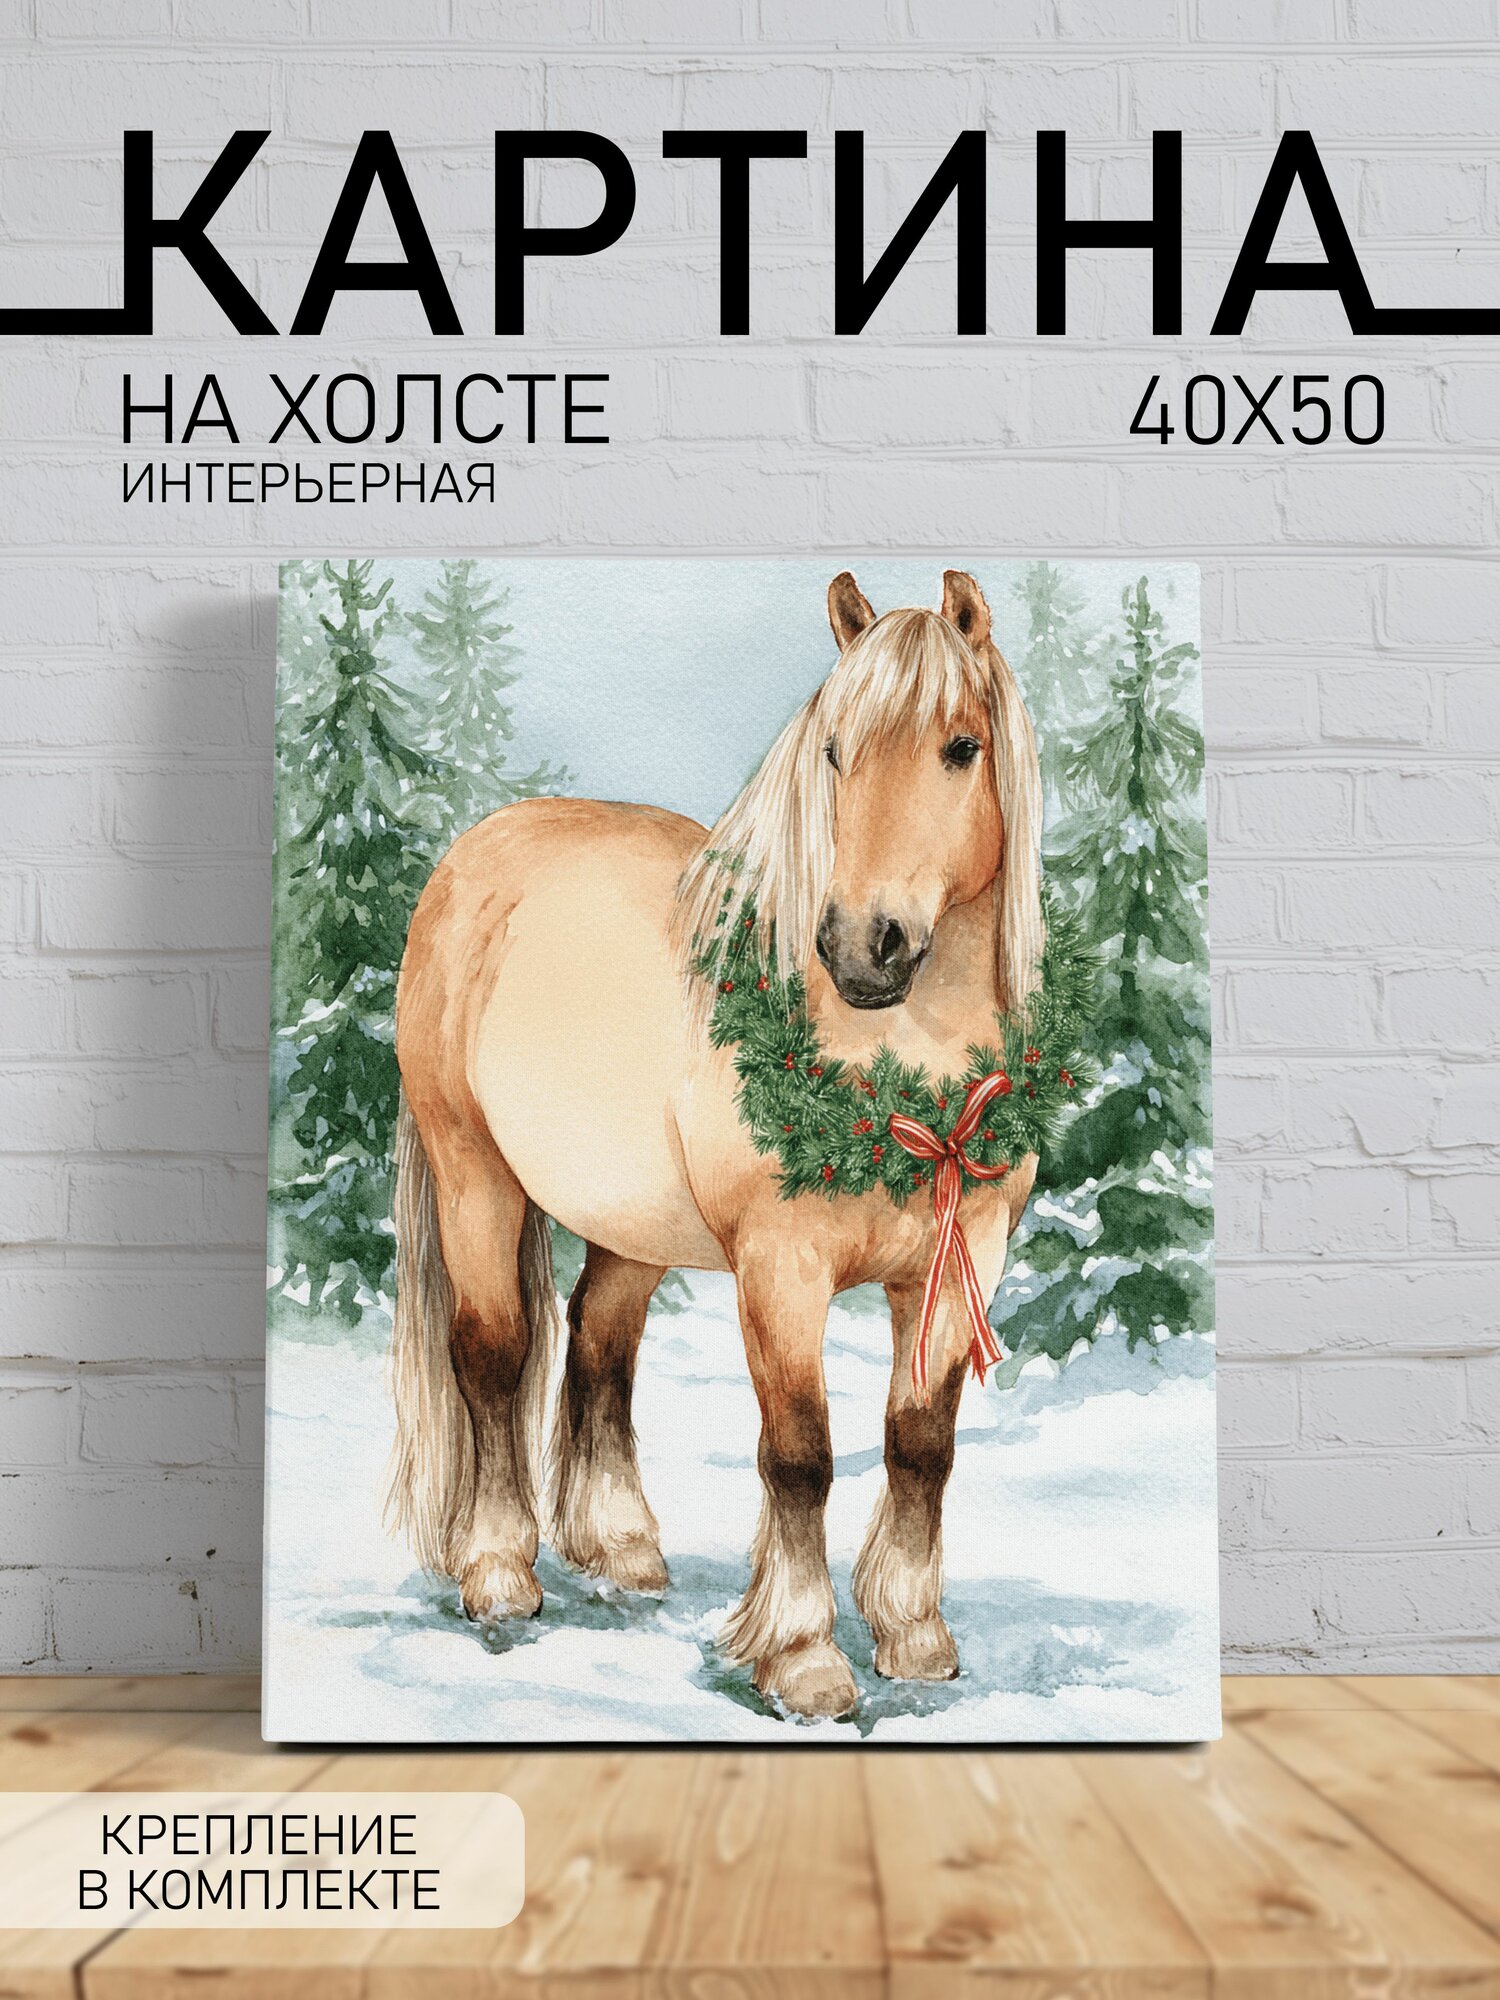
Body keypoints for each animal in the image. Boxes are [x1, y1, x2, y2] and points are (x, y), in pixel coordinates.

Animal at [386, 568, 1044, 1721]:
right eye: (834, 750)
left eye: (962, 747)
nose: (860, 945)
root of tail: (476, 854)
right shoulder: (783, 1269)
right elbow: (800, 1456)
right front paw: (805, 1658)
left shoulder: (958, 1262)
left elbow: (921, 1446)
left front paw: (914, 1637)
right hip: (474, 1177)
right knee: (494, 1355)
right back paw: (501, 1573)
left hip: (629, 1225)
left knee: (599, 1347)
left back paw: (622, 1551)